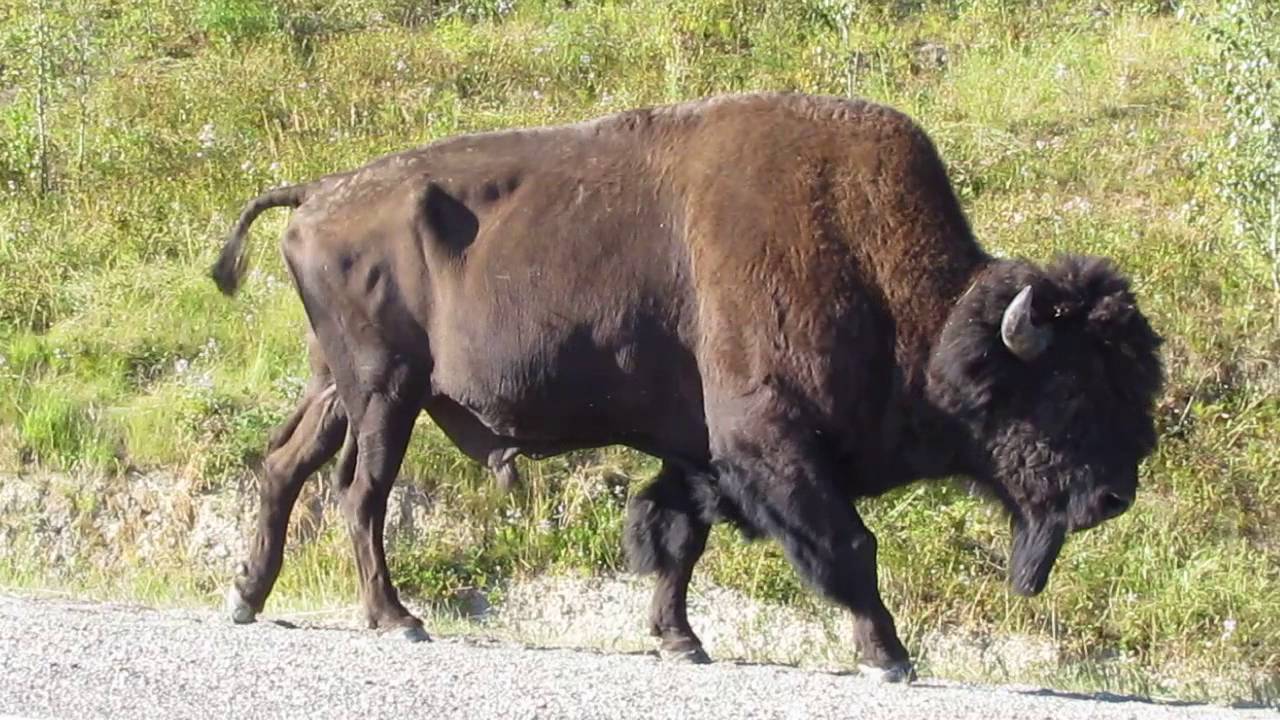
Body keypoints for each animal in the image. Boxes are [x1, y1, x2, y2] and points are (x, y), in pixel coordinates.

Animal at [211, 91, 1164, 682]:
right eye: (1070, 392)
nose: (1116, 495)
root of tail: (317, 193)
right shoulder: (767, 441)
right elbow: (848, 546)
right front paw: (888, 656)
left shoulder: (700, 453)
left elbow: (675, 538)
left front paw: (680, 642)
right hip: (386, 392)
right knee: (360, 494)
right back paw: (395, 618)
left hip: (337, 389)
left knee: (284, 467)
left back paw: (248, 599)